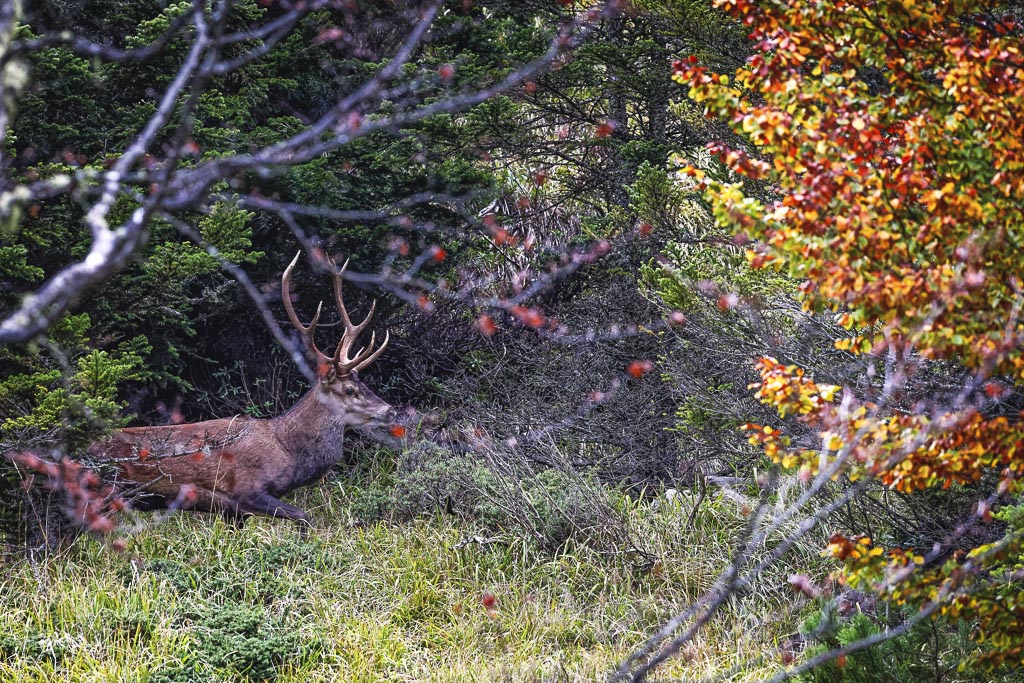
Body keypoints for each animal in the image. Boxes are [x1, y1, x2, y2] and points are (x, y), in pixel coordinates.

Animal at [90, 252, 397, 531]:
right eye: (349, 389)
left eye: (364, 384)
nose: (390, 410)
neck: (287, 451)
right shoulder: (245, 491)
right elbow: (304, 517)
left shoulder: (231, 512)